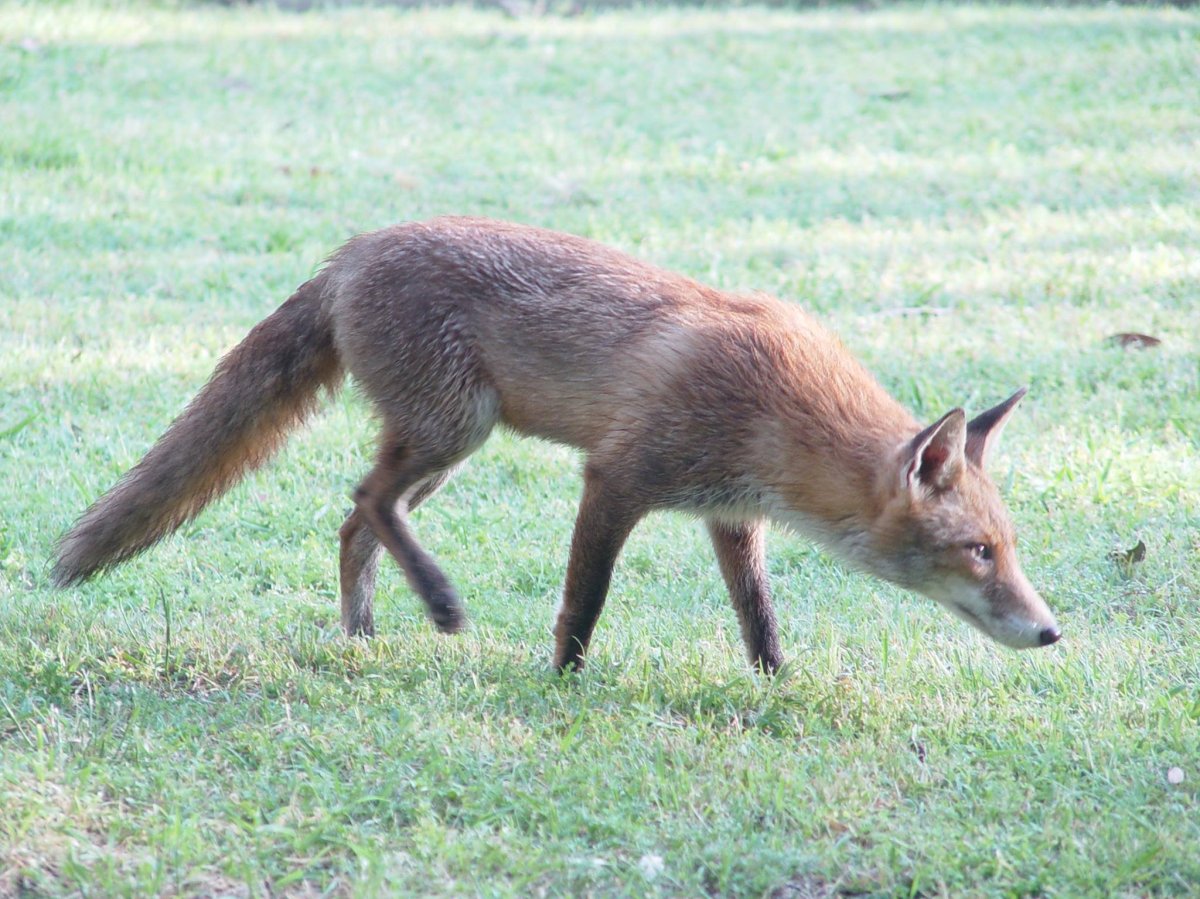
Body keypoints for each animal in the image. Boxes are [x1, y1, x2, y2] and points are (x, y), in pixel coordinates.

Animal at [53, 216, 1060, 673]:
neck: (779, 412)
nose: (1052, 630)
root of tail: (353, 249)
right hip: (455, 427)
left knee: (354, 520)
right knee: (366, 501)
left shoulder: (730, 516)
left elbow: (759, 616)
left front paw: (778, 686)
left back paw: (363, 635)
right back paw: (440, 605)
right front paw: (564, 682)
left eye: (1008, 548)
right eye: (978, 551)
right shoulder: (616, 477)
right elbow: (586, 600)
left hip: (442, 449)